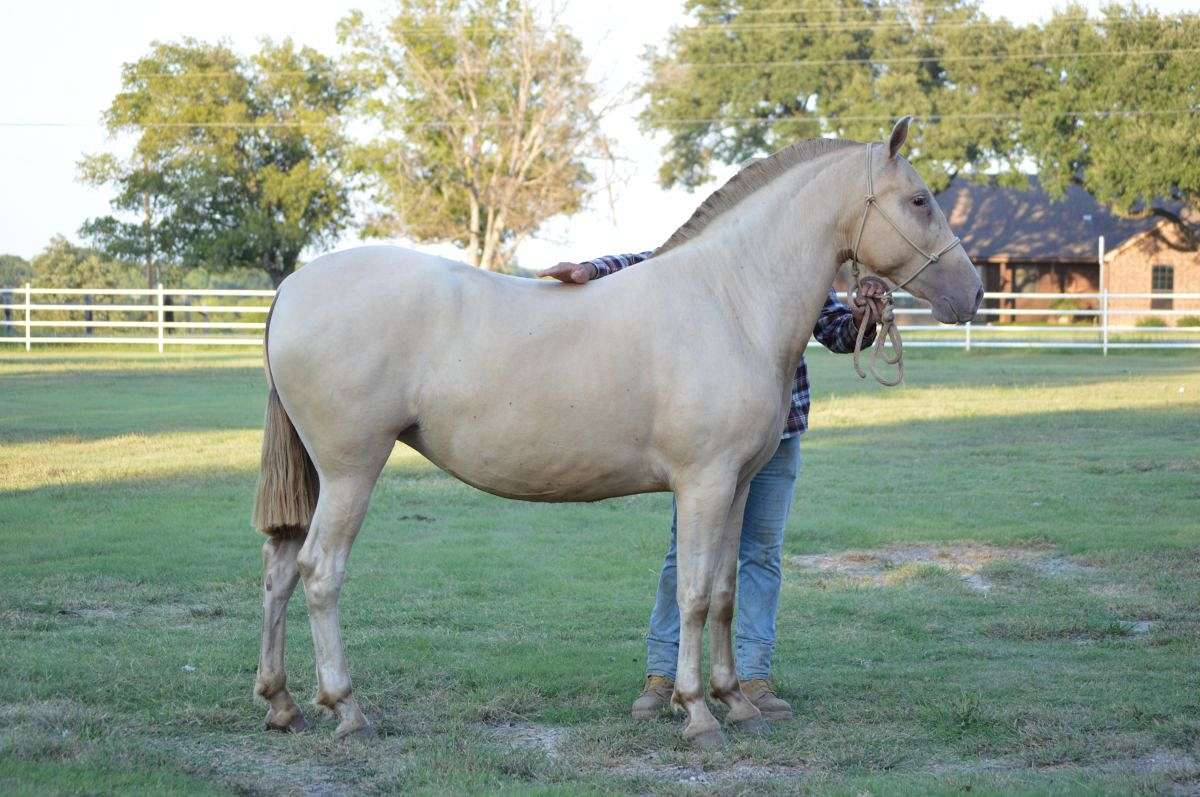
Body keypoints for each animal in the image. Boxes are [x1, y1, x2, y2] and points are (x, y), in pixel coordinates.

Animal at [250, 118, 983, 749]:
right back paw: (346, 707)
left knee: (280, 570)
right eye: (919, 199)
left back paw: (282, 704)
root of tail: (292, 289)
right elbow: (692, 595)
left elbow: (723, 594)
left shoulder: (737, 485)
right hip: (351, 469)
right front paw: (698, 713)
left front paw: (736, 702)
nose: (972, 295)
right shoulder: (704, 484)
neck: (730, 299)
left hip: (319, 475)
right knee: (320, 572)